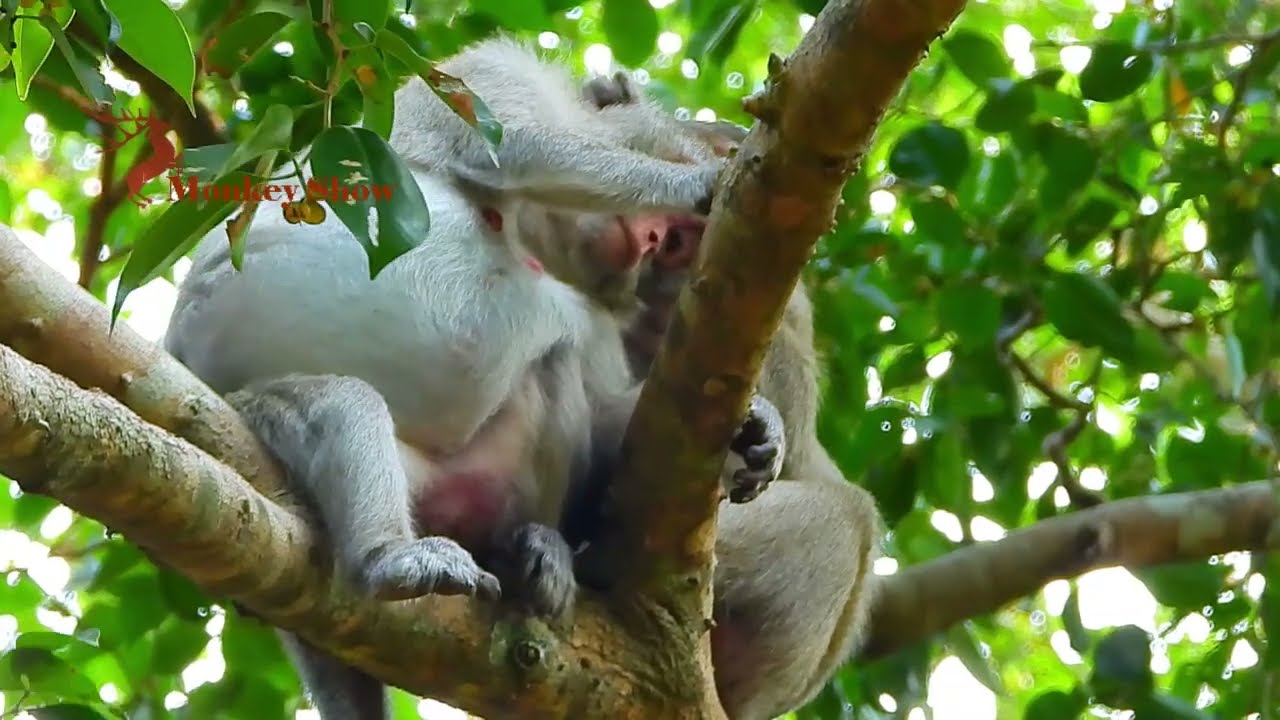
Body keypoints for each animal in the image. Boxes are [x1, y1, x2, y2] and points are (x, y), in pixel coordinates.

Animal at [164, 35, 787, 720]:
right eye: (676, 239)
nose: (655, 241)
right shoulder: (495, 76)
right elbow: (510, 144)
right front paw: (698, 182)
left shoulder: (600, 316)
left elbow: (614, 416)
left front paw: (757, 426)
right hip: (247, 390)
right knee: (339, 405)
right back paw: (388, 556)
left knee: (553, 360)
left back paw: (526, 551)